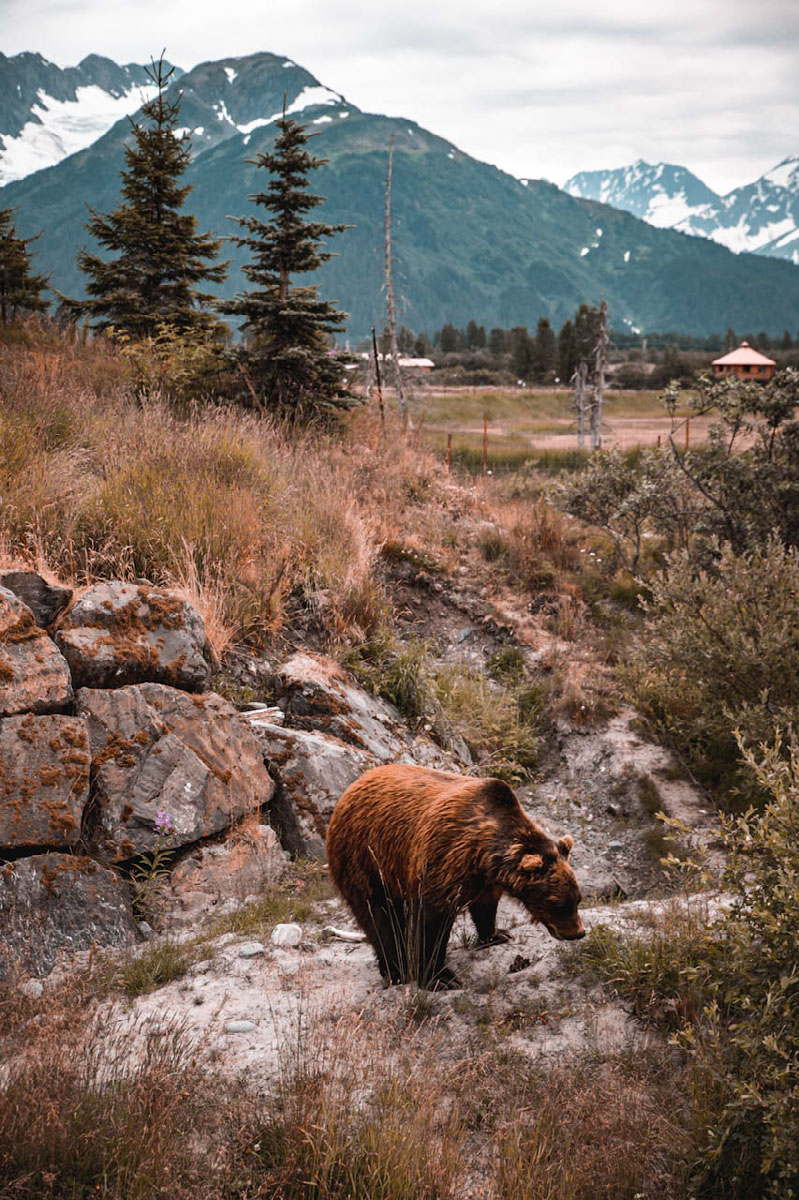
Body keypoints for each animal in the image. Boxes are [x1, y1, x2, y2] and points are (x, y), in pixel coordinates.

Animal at [326, 763, 585, 990]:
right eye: (557, 903)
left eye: (577, 899)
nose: (578, 932)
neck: (482, 856)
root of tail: (353, 785)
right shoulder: (445, 858)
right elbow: (431, 921)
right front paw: (440, 978)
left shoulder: (484, 880)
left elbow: (485, 907)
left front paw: (498, 934)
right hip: (365, 857)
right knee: (377, 915)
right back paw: (395, 970)